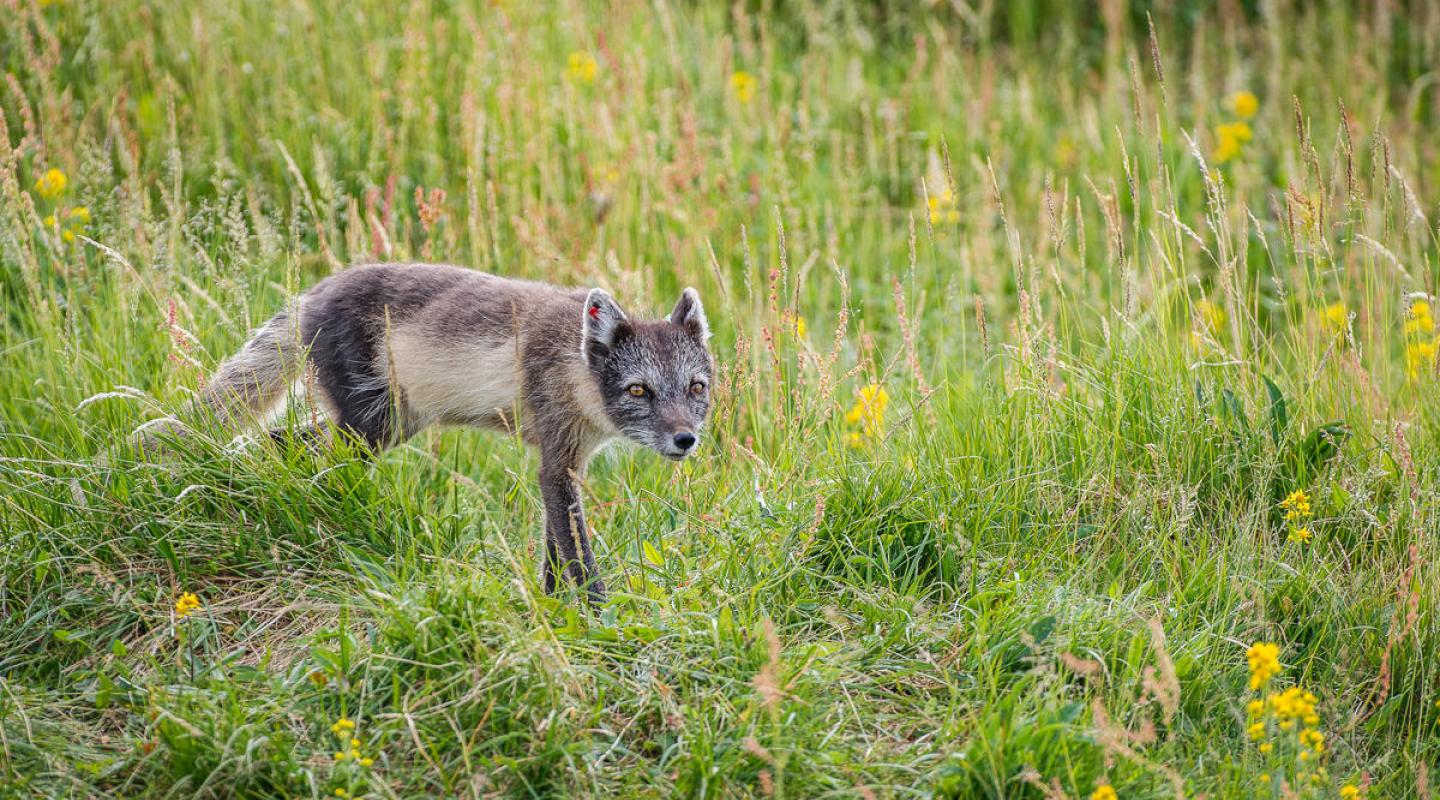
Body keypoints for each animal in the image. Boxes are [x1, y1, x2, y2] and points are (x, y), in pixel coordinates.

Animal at [138, 263, 714, 603]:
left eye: (695, 387)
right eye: (639, 390)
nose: (685, 440)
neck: (573, 365)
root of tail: (311, 293)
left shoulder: (564, 460)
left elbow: (554, 550)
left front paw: (553, 607)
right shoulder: (555, 462)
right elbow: (578, 556)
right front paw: (599, 613)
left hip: (389, 424)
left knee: (279, 441)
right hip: (368, 428)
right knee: (304, 456)